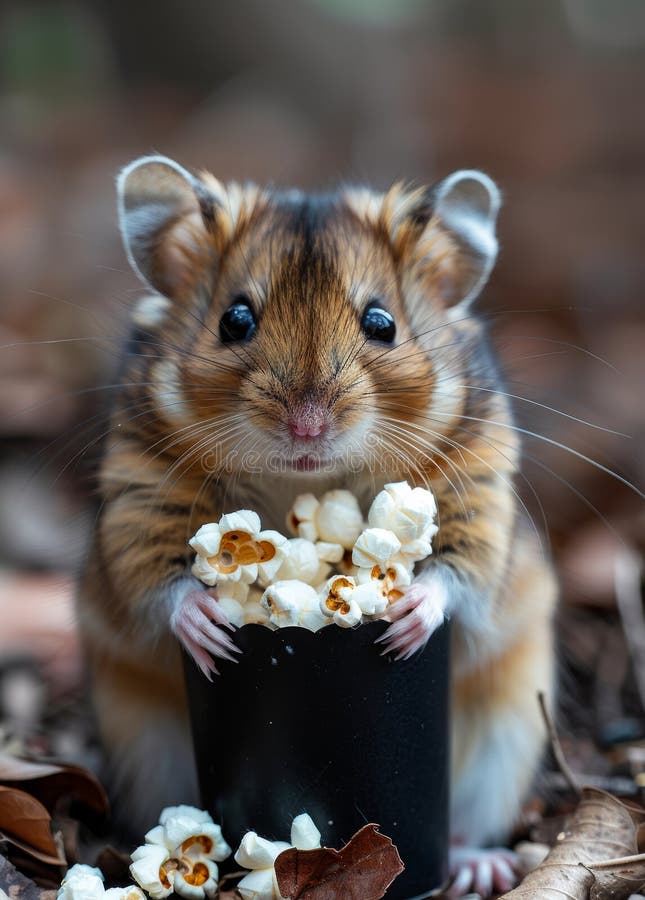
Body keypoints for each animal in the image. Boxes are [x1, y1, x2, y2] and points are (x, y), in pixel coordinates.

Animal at [77, 155, 556, 896]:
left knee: (472, 824)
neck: (300, 479)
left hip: (506, 735)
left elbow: (454, 569)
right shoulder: (140, 488)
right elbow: (162, 577)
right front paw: (211, 628)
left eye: (382, 322)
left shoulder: (475, 484)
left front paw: (405, 619)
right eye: (234, 319)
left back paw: (478, 868)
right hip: (145, 741)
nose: (307, 428)